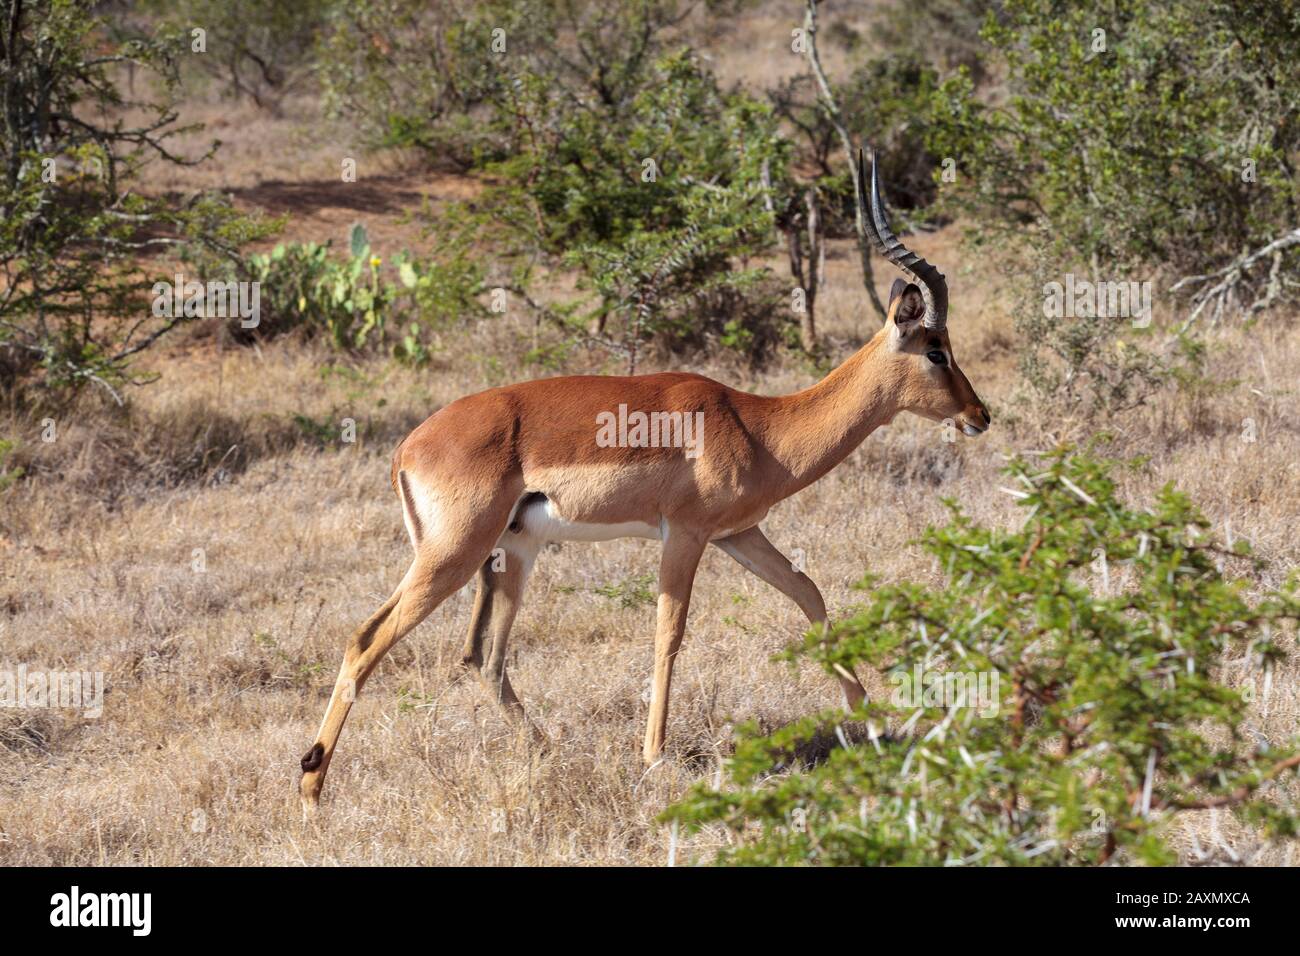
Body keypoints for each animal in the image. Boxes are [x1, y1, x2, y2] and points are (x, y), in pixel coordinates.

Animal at [299, 151, 991, 811]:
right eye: (936, 350)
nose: (980, 415)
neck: (757, 426)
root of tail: (408, 448)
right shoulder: (684, 534)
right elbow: (669, 634)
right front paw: (655, 758)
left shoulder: (738, 534)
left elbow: (809, 593)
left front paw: (872, 726)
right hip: (453, 554)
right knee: (366, 640)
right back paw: (311, 787)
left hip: (511, 552)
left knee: (483, 657)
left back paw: (546, 751)